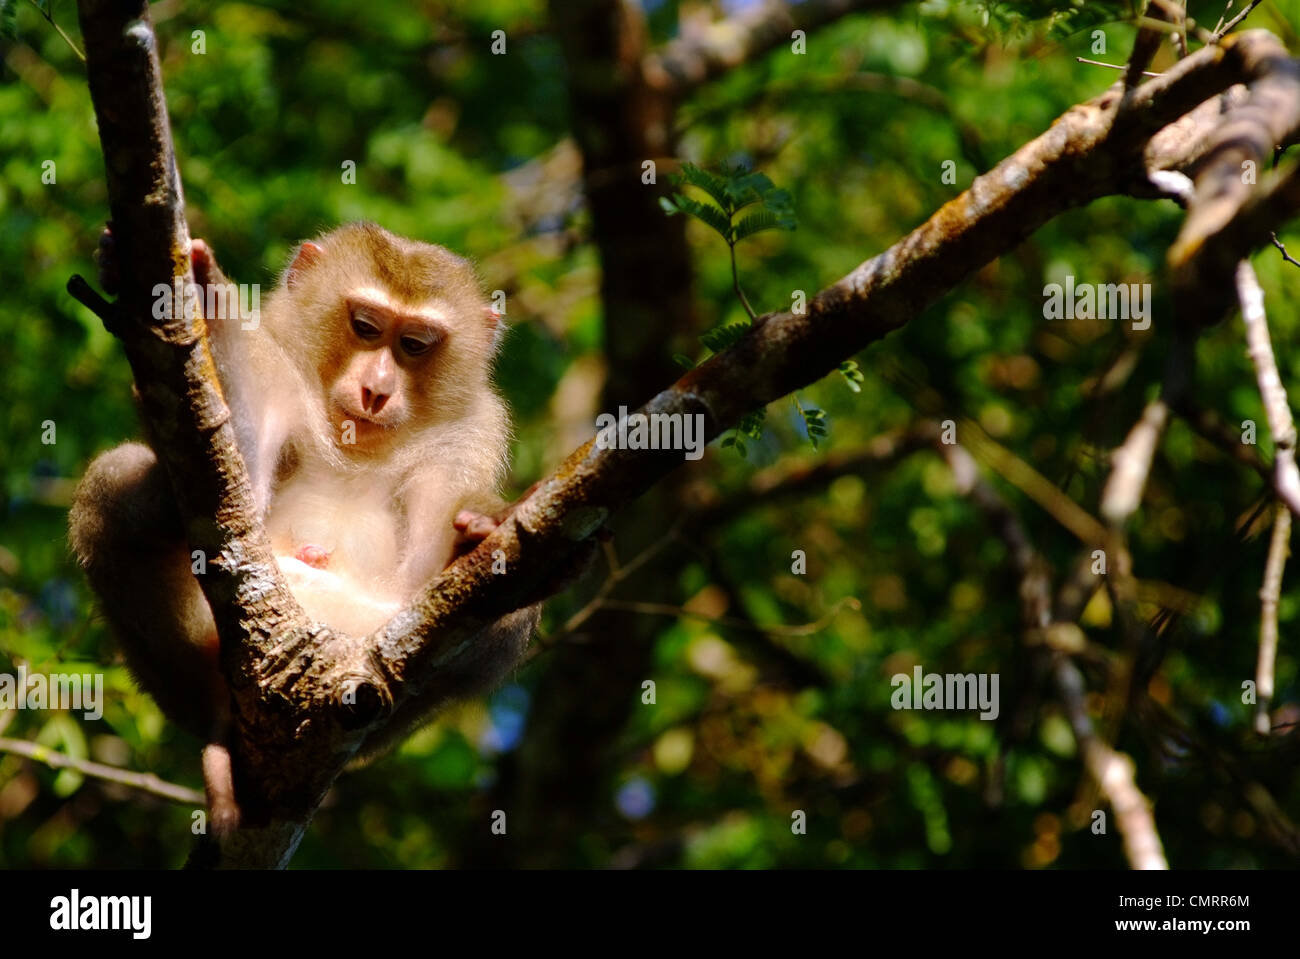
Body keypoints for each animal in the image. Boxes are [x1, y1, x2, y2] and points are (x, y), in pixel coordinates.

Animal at [68, 223, 543, 830]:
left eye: (415, 344)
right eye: (365, 327)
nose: (376, 391)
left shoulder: (467, 436)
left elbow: (426, 571)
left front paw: (476, 530)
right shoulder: (275, 367)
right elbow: (242, 457)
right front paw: (196, 291)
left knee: (512, 614)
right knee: (114, 479)